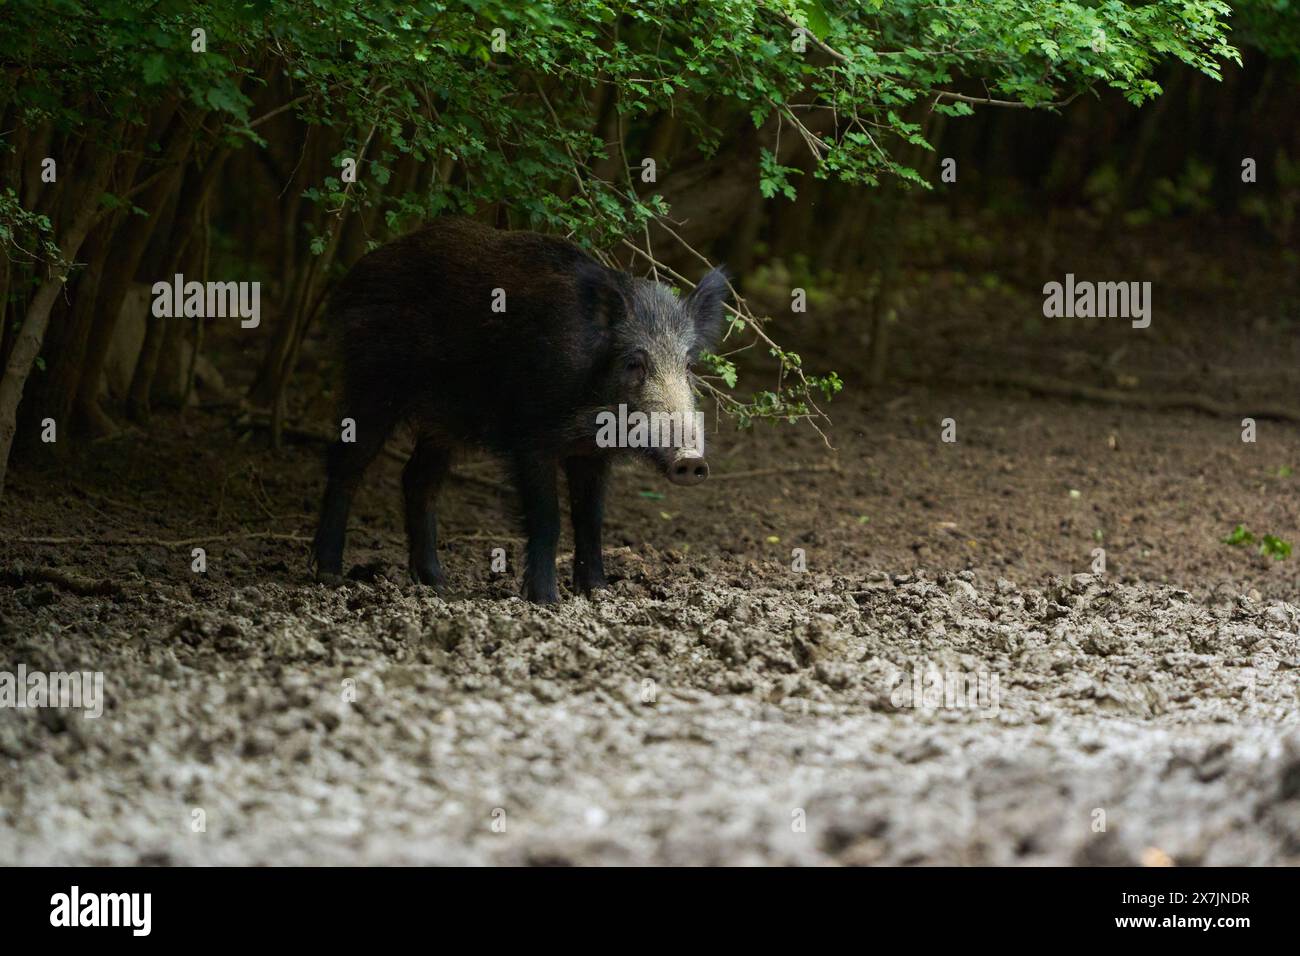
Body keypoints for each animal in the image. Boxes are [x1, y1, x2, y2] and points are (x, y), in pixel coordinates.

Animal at [311, 216, 729, 603]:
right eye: (633, 363)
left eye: (688, 366)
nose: (691, 460)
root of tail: (358, 272)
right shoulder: (529, 436)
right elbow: (549, 518)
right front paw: (545, 600)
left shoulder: (592, 452)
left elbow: (591, 519)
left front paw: (598, 592)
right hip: (372, 380)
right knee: (347, 462)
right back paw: (329, 575)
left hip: (443, 421)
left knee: (417, 479)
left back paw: (438, 585)